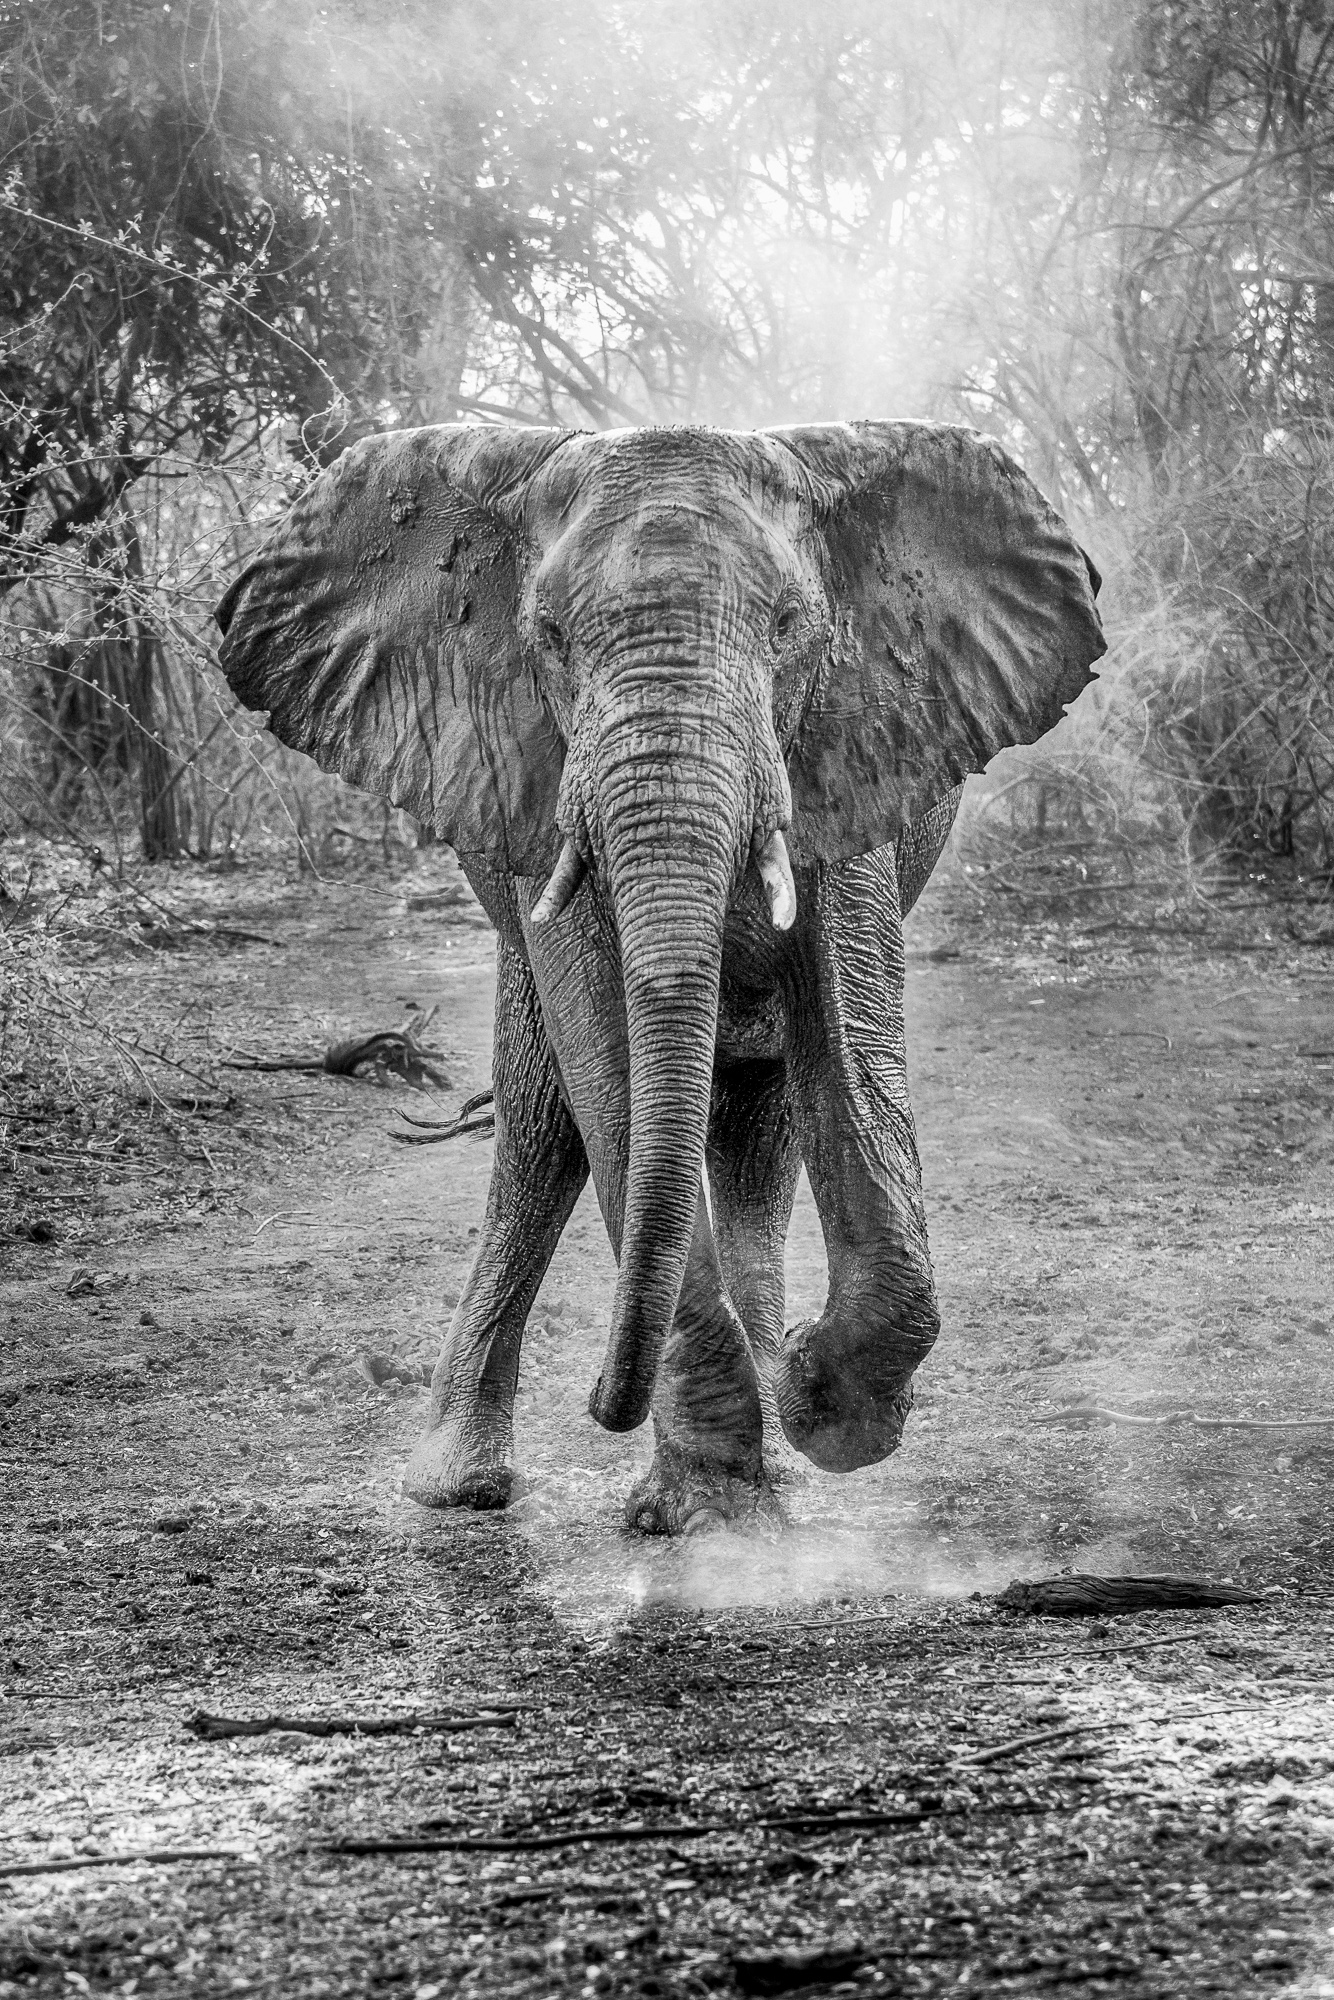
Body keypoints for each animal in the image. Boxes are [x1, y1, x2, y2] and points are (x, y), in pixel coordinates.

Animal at [216, 419, 1104, 1534]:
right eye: (548, 635)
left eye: (789, 627)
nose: (601, 1396)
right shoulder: (535, 776)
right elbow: (605, 1060)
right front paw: (708, 1505)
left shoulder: (847, 749)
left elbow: (849, 1046)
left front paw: (815, 1401)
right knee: (542, 1136)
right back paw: (459, 1484)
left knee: (760, 1134)